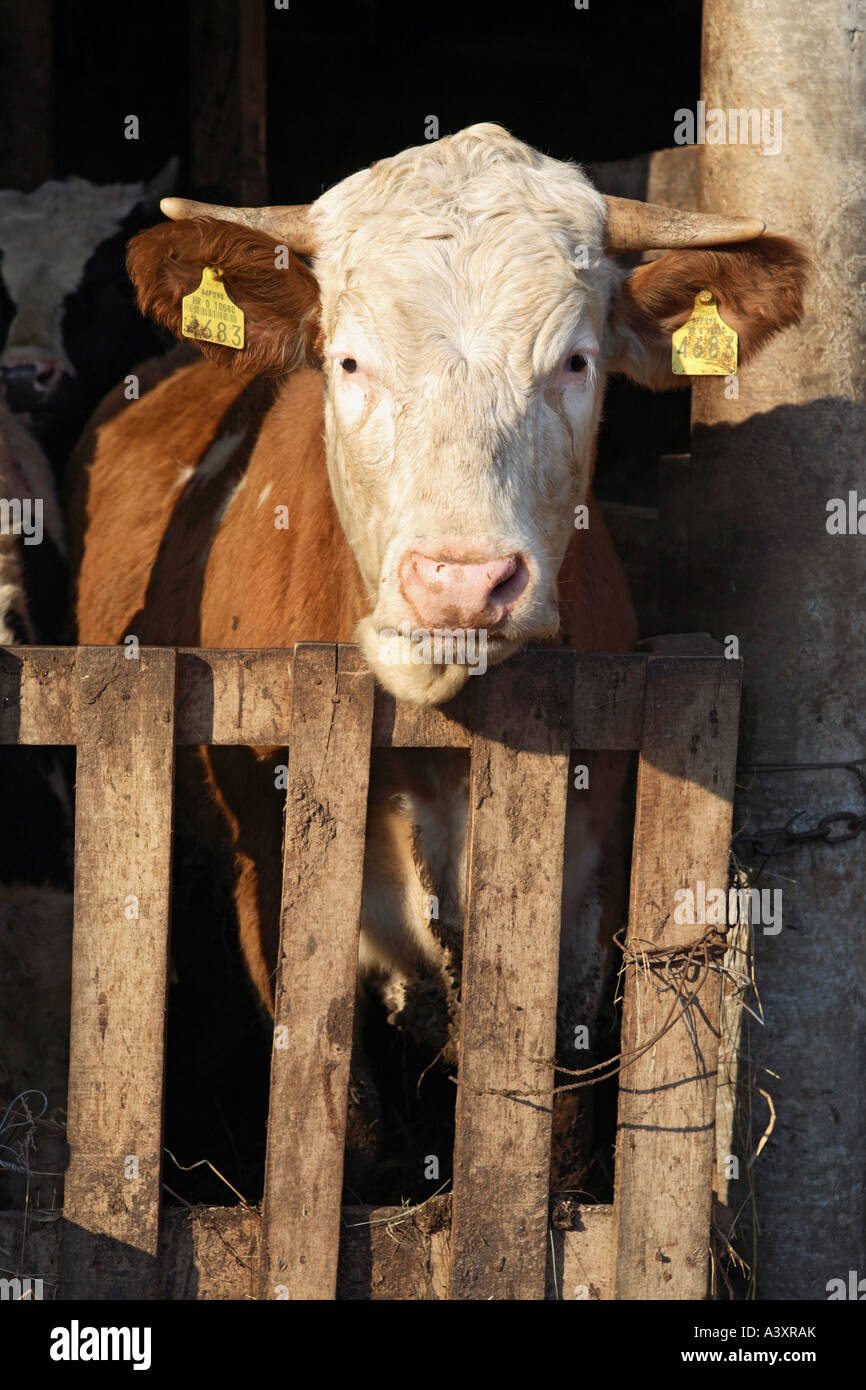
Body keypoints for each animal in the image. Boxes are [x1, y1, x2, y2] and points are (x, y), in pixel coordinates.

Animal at [71, 124, 806, 1187]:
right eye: (347, 362)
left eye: (576, 362)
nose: (461, 583)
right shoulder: (276, 886)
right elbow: (352, 1124)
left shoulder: (585, 895)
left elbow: (558, 1124)